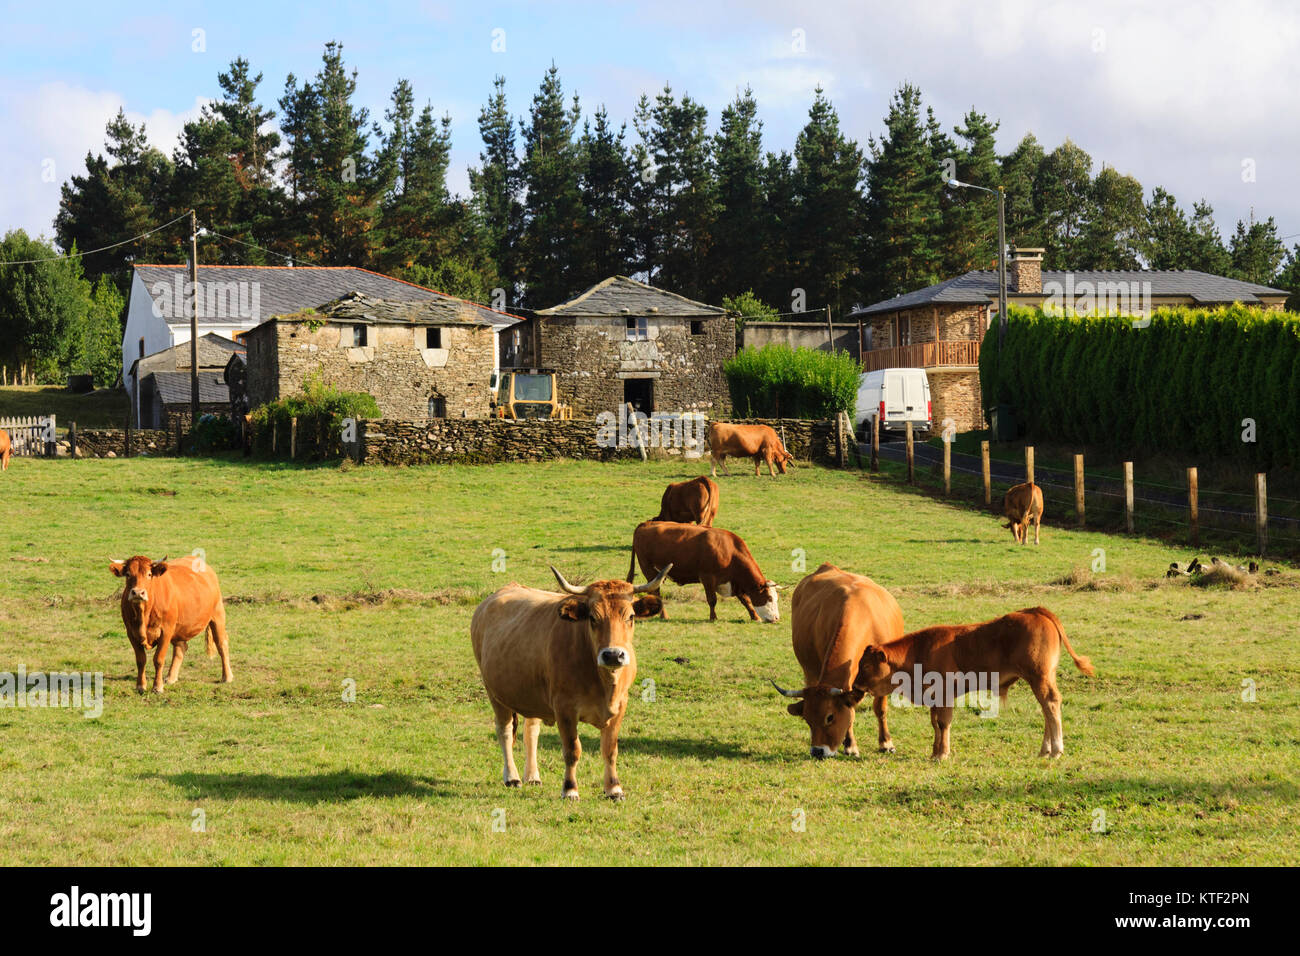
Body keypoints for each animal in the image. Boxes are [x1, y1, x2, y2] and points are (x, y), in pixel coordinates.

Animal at [110, 554, 233, 694]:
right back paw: (171, 677)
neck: (143, 614)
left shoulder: (166, 631)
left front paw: (157, 687)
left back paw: (227, 676)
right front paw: (140, 686)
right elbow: (141, 660)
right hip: (179, 627)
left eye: (149, 574)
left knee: (222, 644)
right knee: (181, 648)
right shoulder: (131, 632)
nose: (137, 592)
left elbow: (158, 659)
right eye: (128, 574)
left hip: (217, 615)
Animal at [470, 564, 671, 800]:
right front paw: (570, 789)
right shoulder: (564, 708)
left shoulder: (621, 705)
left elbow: (610, 750)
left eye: (630, 616)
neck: (604, 684)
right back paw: (512, 777)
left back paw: (533, 776)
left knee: (531, 731)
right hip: (495, 694)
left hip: (531, 694)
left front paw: (614, 788)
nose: (613, 655)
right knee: (504, 731)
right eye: (592, 618)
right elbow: (572, 750)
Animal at [628, 520, 779, 622]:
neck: (729, 552)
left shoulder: (734, 581)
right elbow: (712, 600)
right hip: (649, 570)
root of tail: (645, 524)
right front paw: (713, 617)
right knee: (656, 592)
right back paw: (664, 615)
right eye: (769, 598)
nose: (776, 618)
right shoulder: (707, 578)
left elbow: (745, 600)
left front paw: (755, 616)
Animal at [770, 563, 905, 759]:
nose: (817, 751)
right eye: (807, 719)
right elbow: (851, 714)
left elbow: (880, 709)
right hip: (809, 671)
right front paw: (850, 746)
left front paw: (886, 743)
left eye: (830, 717)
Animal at [857, 606, 1094, 759]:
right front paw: (935, 751)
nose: (855, 686)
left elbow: (943, 723)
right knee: (1047, 709)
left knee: (1051, 705)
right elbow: (935, 723)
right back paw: (1045, 750)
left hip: (1039, 678)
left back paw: (1056, 750)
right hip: (1042, 679)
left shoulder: (945, 695)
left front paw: (942, 754)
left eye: (866, 666)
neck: (919, 652)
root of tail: (1034, 611)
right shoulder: (934, 697)